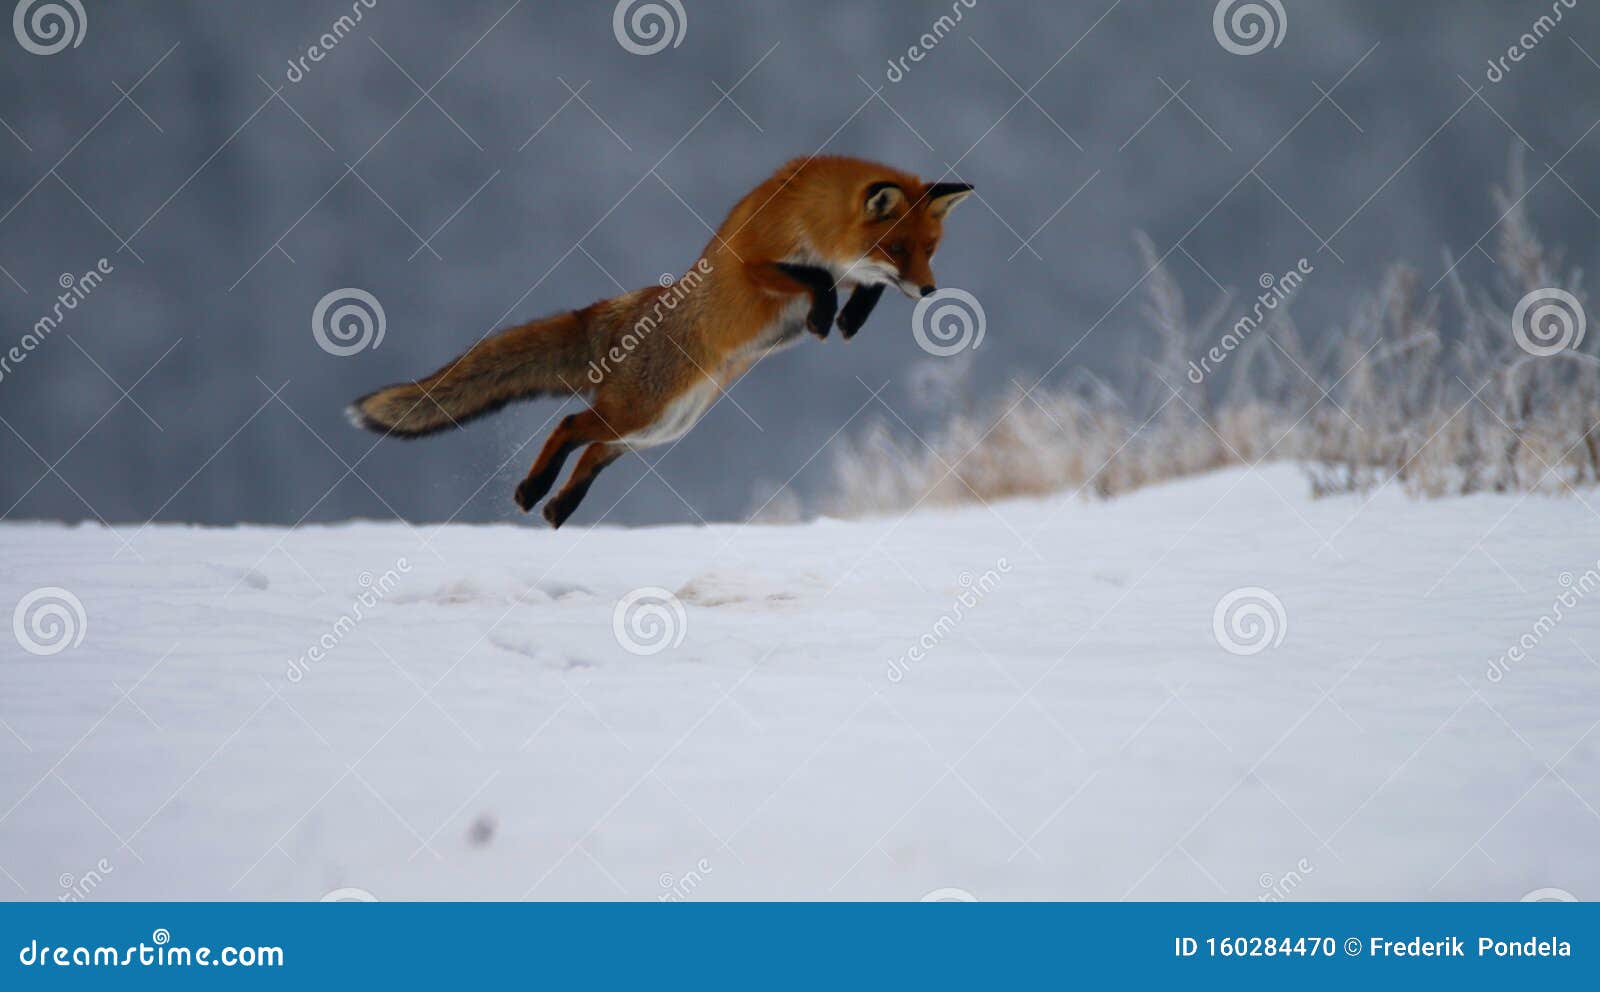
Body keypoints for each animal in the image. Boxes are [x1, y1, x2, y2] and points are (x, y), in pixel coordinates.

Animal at [347, 155, 974, 528]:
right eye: (898, 248)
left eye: (930, 250)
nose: (929, 290)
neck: (810, 217)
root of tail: (616, 311)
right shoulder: (752, 265)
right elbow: (814, 279)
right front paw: (826, 317)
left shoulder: (845, 270)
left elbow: (858, 286)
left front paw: (850, 320)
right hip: (642, 412)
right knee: (570, 425)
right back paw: (533, 491)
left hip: (660, 427)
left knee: (594, 451)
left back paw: (558, 505)